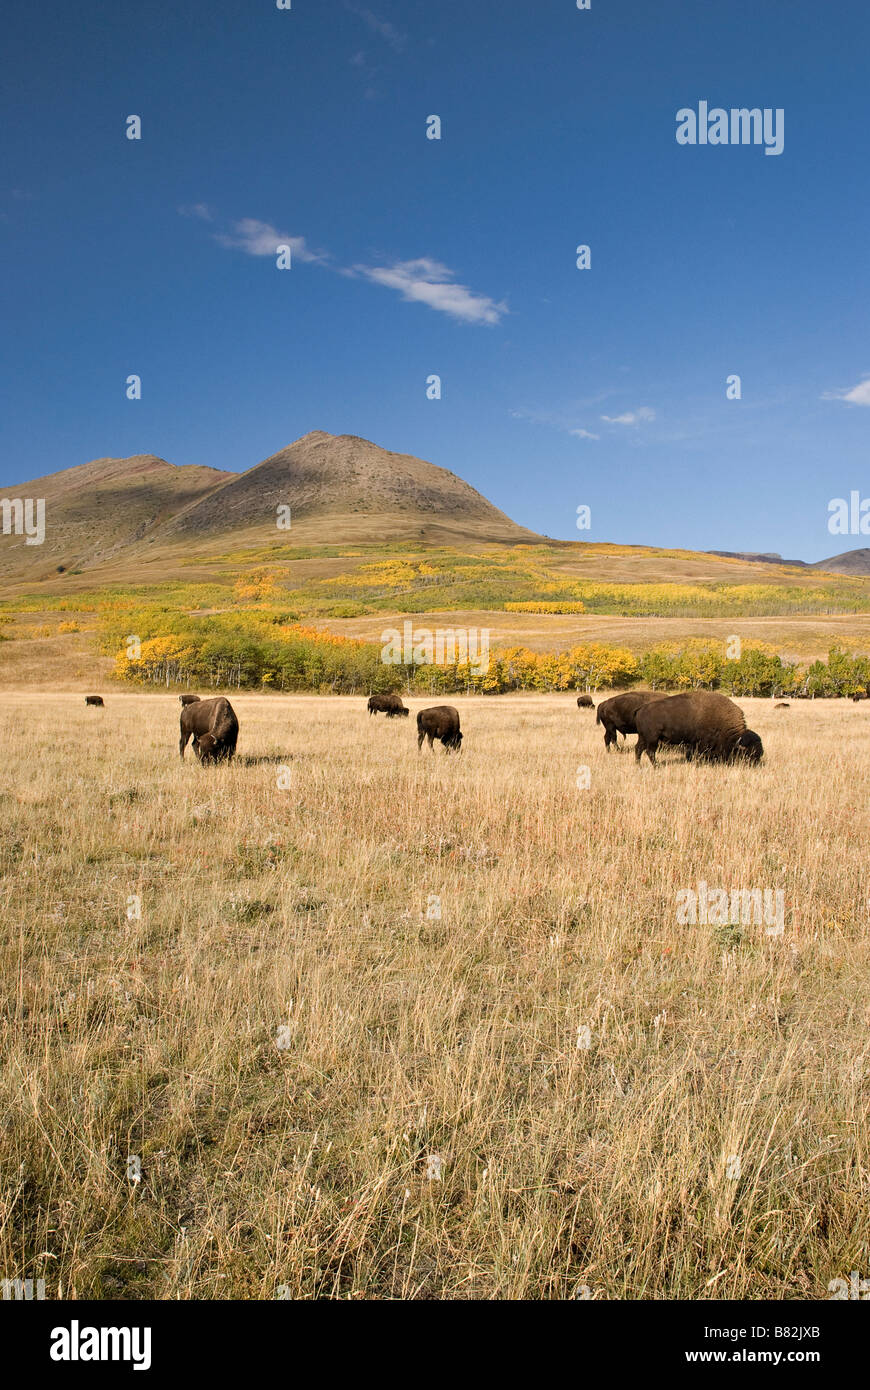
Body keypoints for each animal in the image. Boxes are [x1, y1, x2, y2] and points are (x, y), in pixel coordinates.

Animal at [634, 690, 763, 767]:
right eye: (749, 754)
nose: (755, 765)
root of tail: (641, 709)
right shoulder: (701, 743)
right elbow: (698, 754)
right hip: (652, 738)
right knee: (650, 751)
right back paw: (656, 766)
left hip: (643, 737)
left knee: (638, 749)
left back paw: (638, 765)